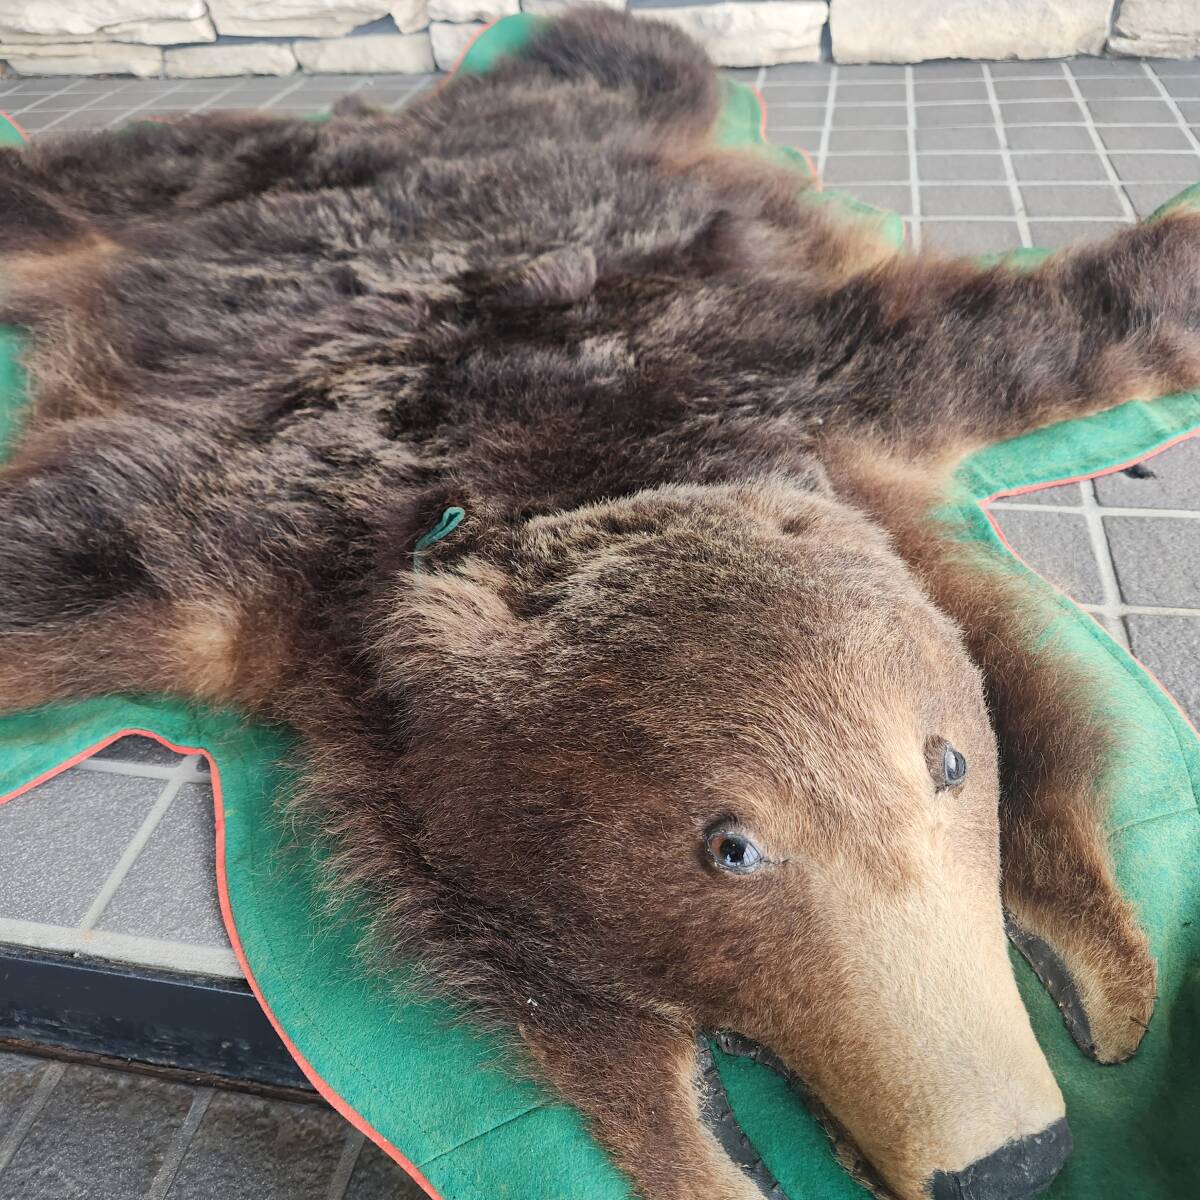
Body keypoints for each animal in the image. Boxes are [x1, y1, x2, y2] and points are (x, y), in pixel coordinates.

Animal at [0, 9, 1190, 1199]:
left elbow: (1098, 331)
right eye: (731, 847)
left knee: (640, 56)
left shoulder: (833, 378)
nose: (1007, 1161)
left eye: (948, 762)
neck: (565, 481)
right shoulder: (227, 553)